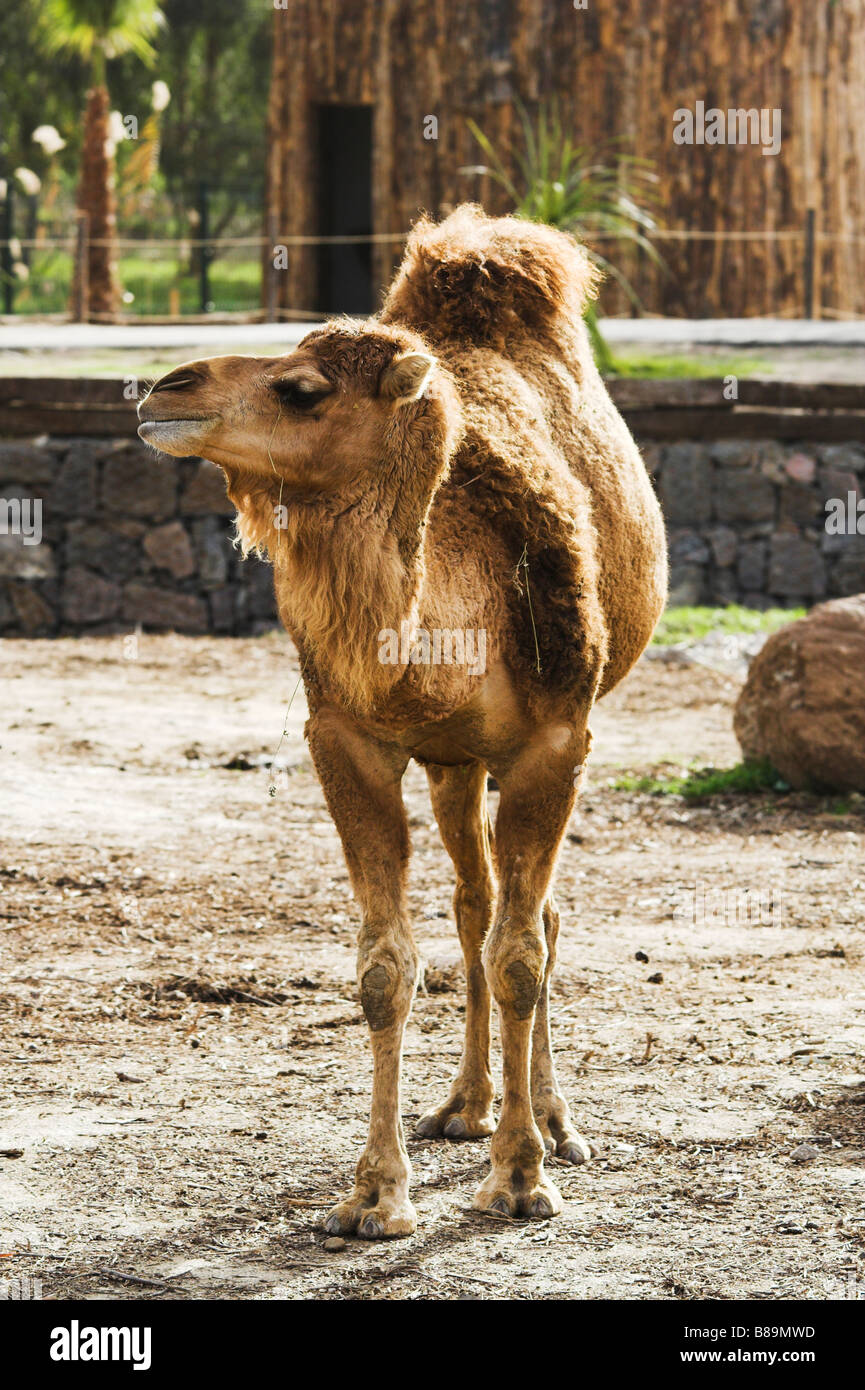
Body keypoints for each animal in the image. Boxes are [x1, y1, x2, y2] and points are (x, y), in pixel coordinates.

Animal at [138, 205, 667, 1237]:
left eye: (301, 389)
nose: (163, 388)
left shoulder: (555, 742)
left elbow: (522, 954)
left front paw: (520, 1180)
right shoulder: (349, 743)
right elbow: (385, 966)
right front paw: (374, 1195)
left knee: (533, 916)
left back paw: (553, 1121)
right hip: (453, 762)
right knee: (473, 904)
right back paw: (464, 1106)